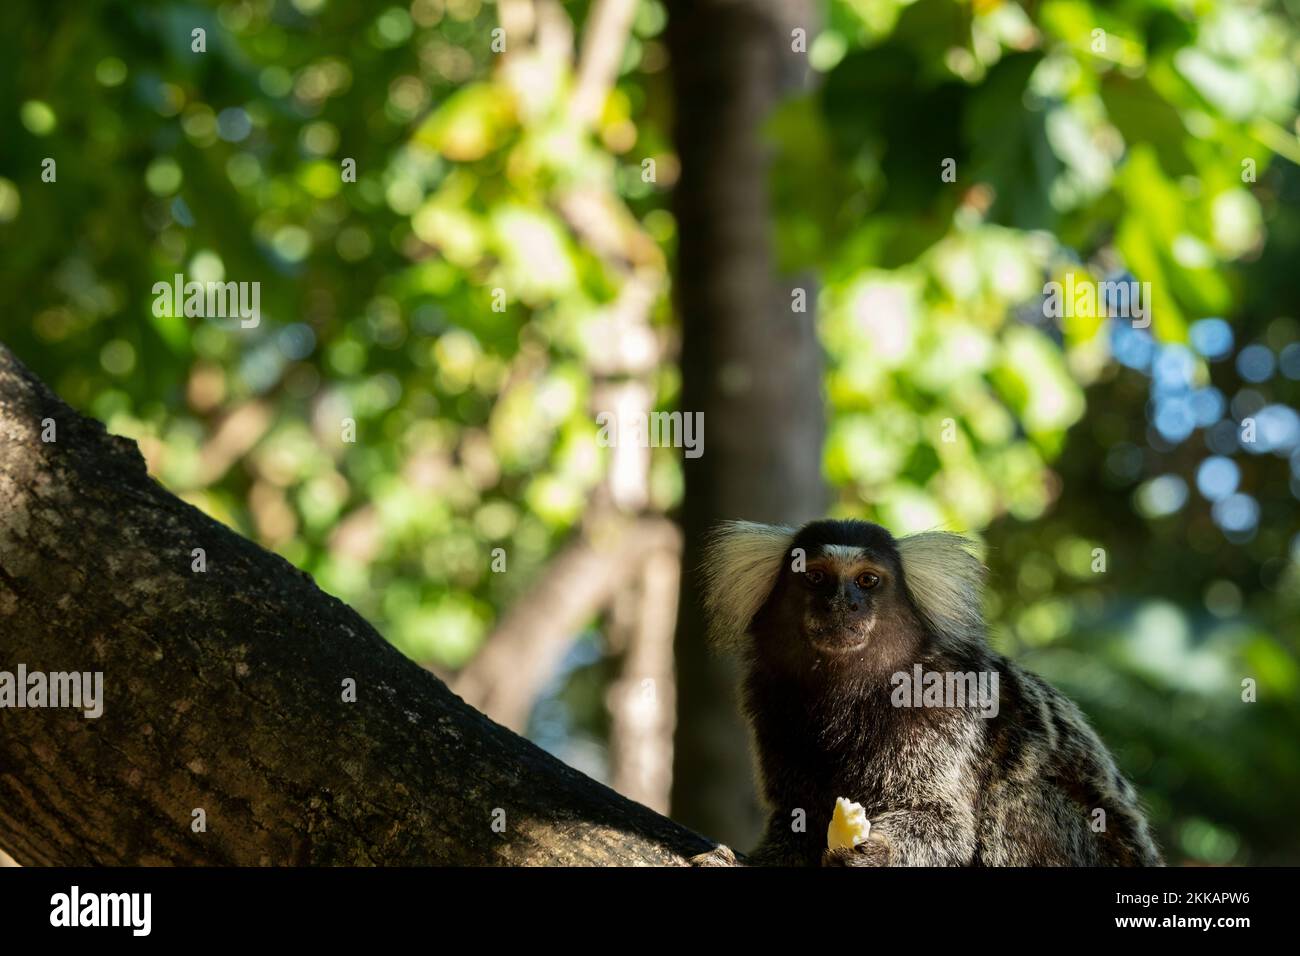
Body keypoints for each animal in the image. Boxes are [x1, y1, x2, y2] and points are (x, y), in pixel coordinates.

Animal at [693, 519, 1162, 867]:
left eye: (867, 581)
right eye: (816, 577)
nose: (842, 604)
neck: (847, 691)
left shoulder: (944, 702)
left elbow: (943, 822)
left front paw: (875, 852)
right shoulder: (770, 700)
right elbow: (798, 818)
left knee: (1016, 801)